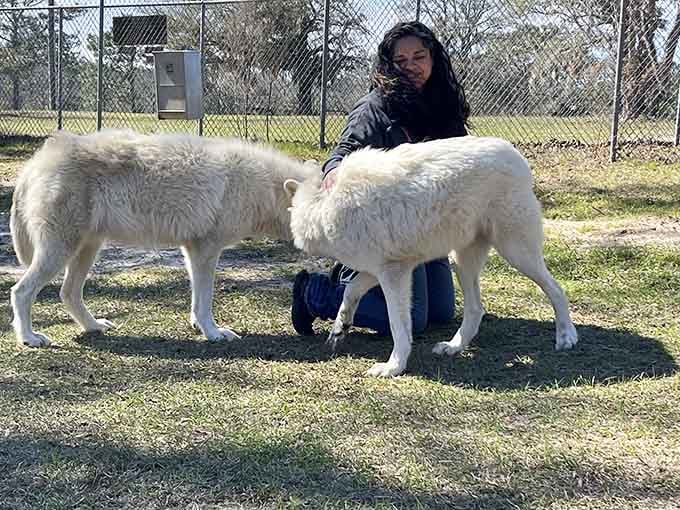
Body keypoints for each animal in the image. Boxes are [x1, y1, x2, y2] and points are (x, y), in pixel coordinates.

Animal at [10, 129, 315, 348]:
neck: (259, 186)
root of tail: (36, 162)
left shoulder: (192, 250)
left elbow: (196, 299)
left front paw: (198, 326)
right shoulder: (206, 250)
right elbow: (205, 301)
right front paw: (214, 333)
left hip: (86, 249)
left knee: (68, 293)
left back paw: (94, 326)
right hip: (60, 251)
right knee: (21, 291)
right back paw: (29, 338)